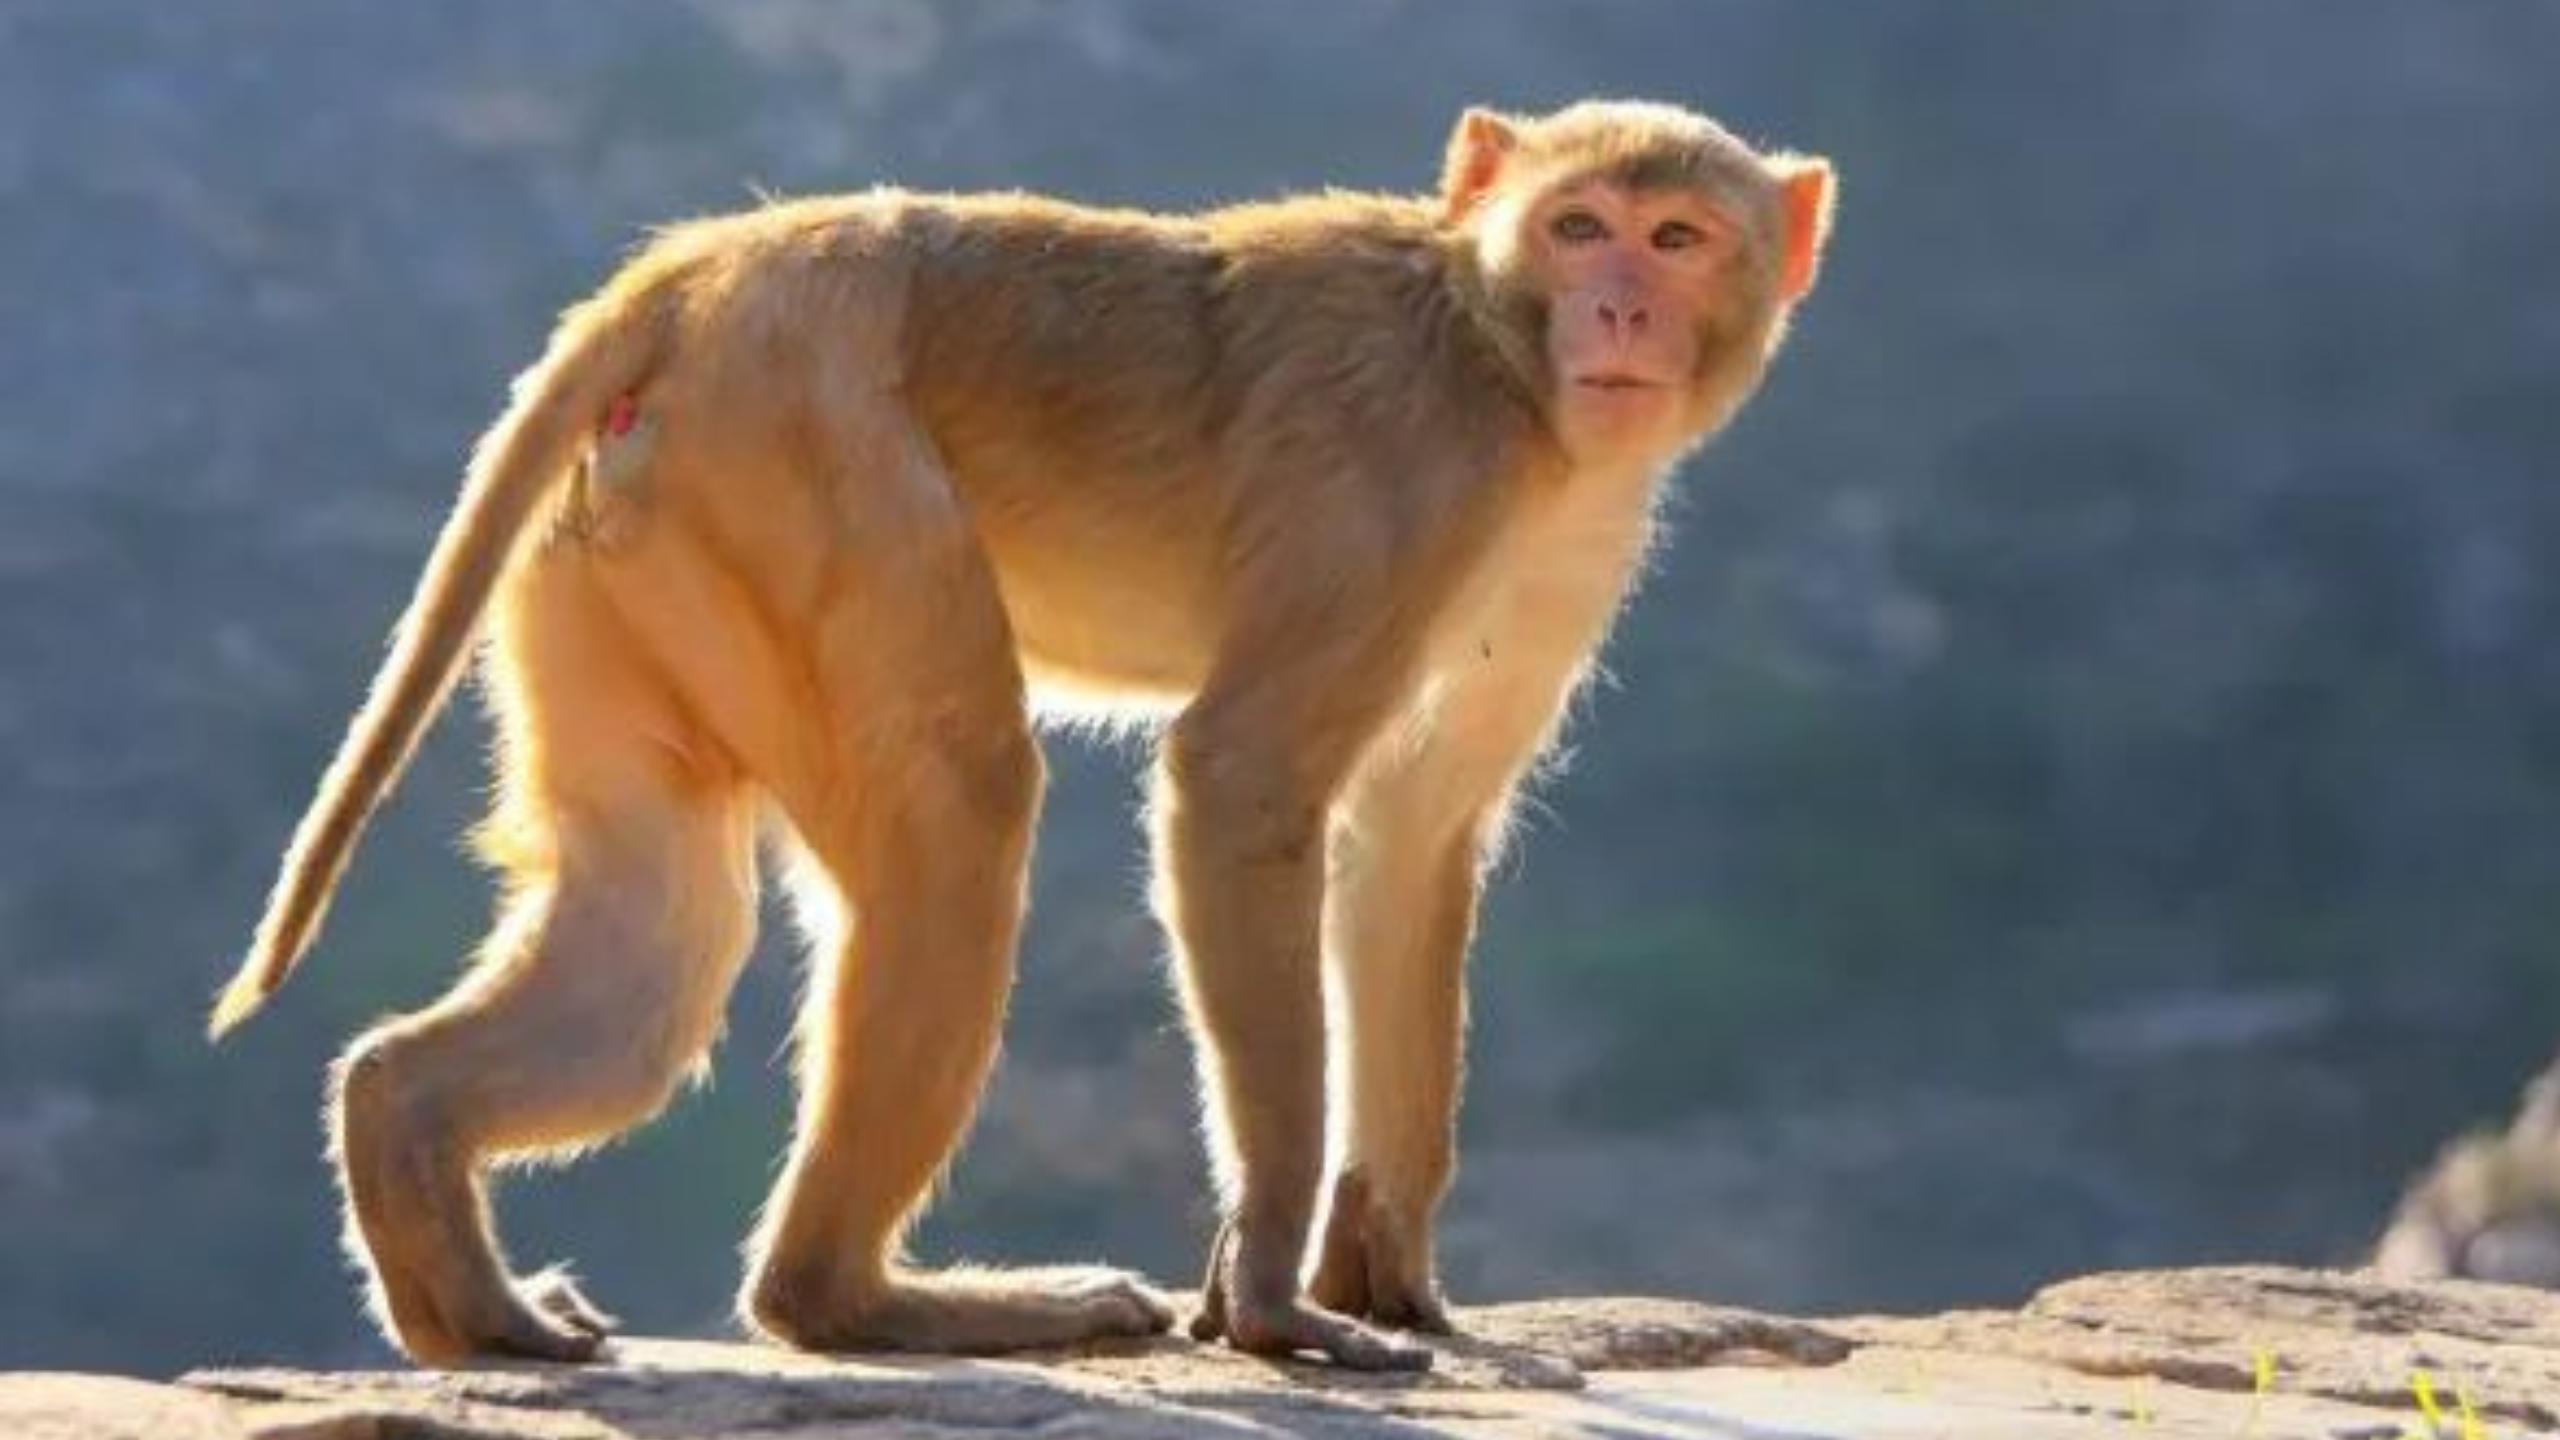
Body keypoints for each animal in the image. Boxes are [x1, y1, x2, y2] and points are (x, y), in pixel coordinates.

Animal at [208, 98, 1835, 1372]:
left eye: (1675, 238)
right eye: (1577, 228)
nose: (1619, 311)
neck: (1502, 361)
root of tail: (702, 270)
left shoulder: (1560, 558)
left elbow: (1414, 840)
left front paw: (1388, 1267)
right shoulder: (1410, 479)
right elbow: (1241, 780)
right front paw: (1268, 1295)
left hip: (636, 543)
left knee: (656, 924)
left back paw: (430, 1189)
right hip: (804, 463)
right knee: (961, 807)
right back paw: (863, 1298)